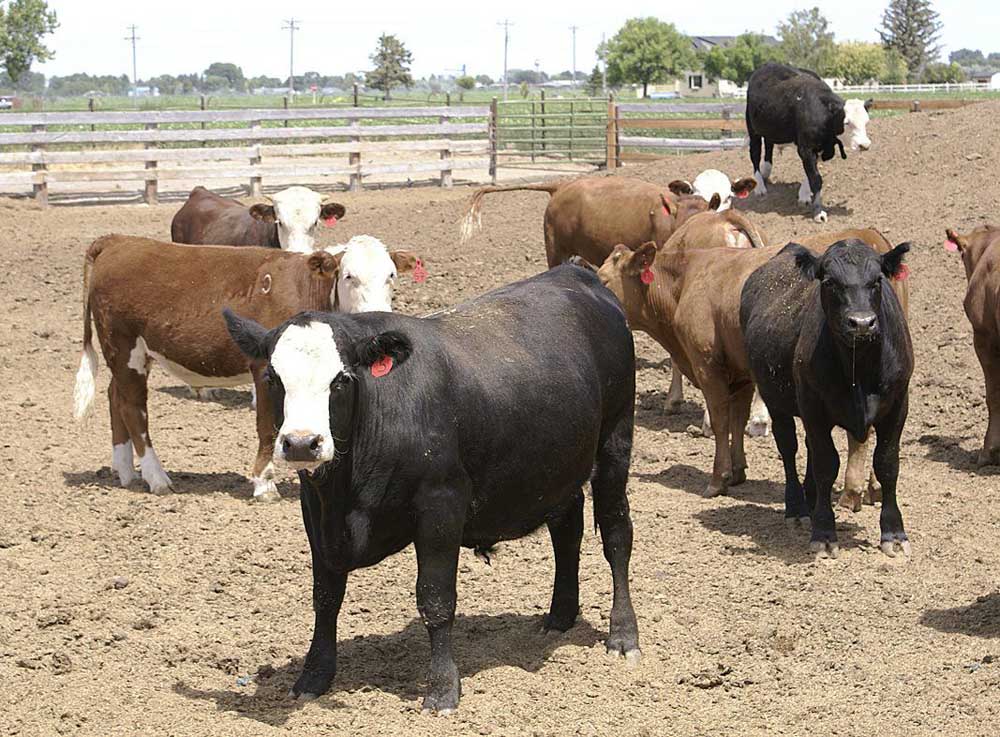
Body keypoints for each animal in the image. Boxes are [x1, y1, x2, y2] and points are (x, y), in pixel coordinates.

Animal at [222, 264, 640, 713]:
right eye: (272, 377)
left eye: (341, 380)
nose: (302, 442)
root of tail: (576, 273)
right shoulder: (315, 512)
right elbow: (326, 596)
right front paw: (314, 675)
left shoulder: (442, 505)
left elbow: (436, 599)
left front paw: (441, 688)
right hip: (558, 466)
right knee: (567, 531)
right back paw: (560, 617)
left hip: (615, 442)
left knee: (616, 535)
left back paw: (623, 634)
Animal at [740, 240, 913, 557]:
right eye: (831, 282)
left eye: (877, 280)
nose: (861, 323)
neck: (859, 369)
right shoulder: (813, 407)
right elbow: (825, 464)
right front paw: (824, 532)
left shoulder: (897, 407)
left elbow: (887, 464)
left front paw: (894, 534)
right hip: (776, 401)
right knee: (789, 448)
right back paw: (797, 507)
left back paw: (810, 498)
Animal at [746, 62, 872, 223]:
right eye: (847, 122)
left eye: (866, 121)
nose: (864, 145)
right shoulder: (806, 148)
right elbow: (816, 179)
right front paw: (818, 211)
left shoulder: (818, 149)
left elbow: (810, 174)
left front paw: (804, 195)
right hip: (753, 130)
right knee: (755, 154)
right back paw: (760, 187)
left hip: (771, 130)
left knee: (769, 147)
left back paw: (766, 173)